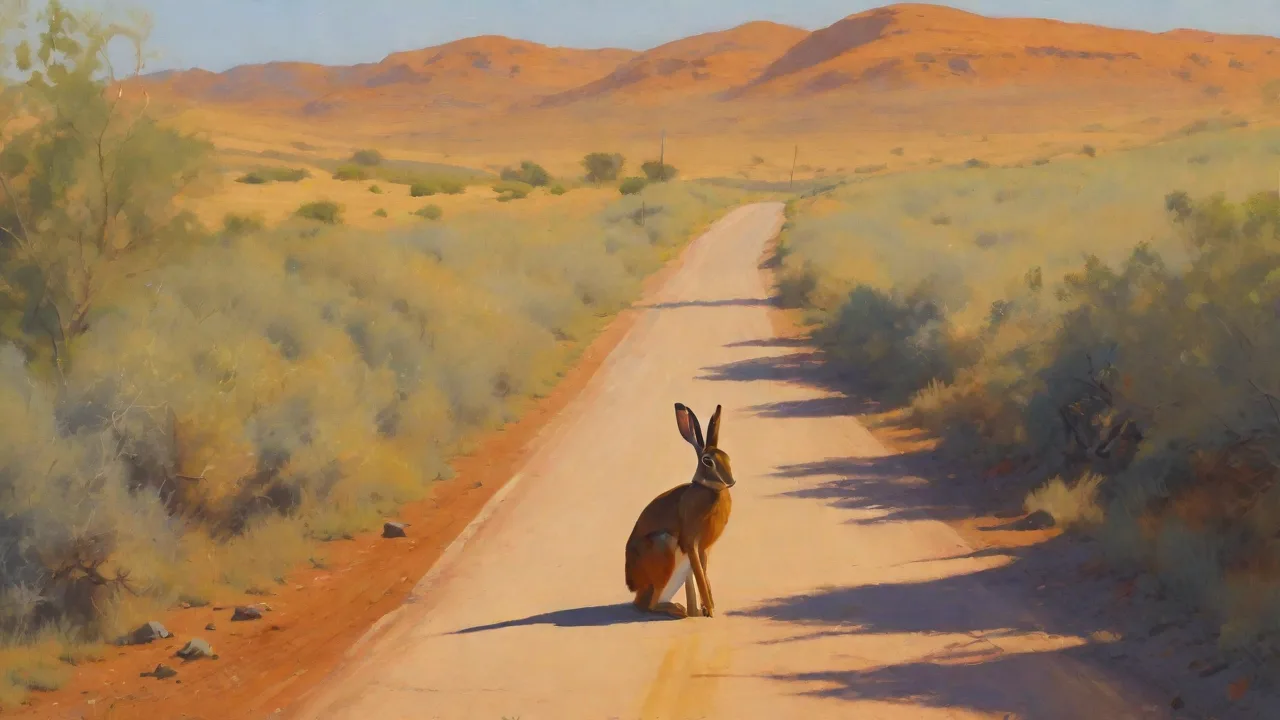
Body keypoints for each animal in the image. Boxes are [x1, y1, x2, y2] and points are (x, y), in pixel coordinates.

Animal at [624, 403, 735, 619]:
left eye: (727, 457)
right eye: (707, 461)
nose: (731, 481)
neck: (710, 489)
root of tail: (634, 586)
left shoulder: (704, 549)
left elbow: (704, 573)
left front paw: (708, 608)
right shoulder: (691, 542)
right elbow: (701, 575)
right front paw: (710, 610)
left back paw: (691, 611)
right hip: (663, 547)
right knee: (651, 604)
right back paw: (679, 610)